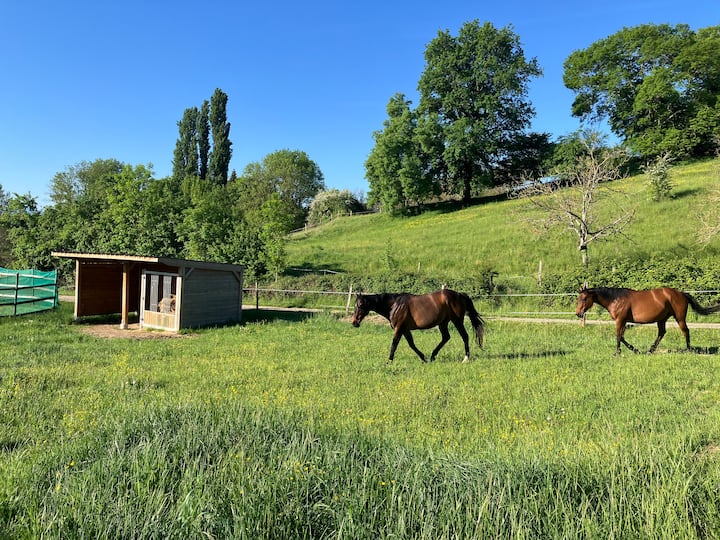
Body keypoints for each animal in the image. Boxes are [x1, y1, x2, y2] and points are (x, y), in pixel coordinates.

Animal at [350, 289, 485, 363]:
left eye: (360, 305)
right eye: (355, 305)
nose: (354, 322)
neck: (394, 305)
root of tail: (460, 294)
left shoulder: (399, 329)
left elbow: (394, 344)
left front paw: (389, 361)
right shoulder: (405, 330)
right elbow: (411, 344)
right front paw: (423, 358)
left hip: (457, 321)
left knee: (464, 336)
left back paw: (465, 359)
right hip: (443, 323)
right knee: (446, 337)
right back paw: (432, 356)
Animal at [575, 285, 720, 355]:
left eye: (584, 298)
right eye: (578, 298)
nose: (578, 313)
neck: (616, 299)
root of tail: (681, 293)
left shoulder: (620, 320)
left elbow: (618, 336)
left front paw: (617, 353)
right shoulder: (624, 321)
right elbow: (622, 337)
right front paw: (635, 350)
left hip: (679, 317)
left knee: (685, 331)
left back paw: (688, 349)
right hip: (661, 319)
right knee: (662, 333)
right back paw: (650, 350)